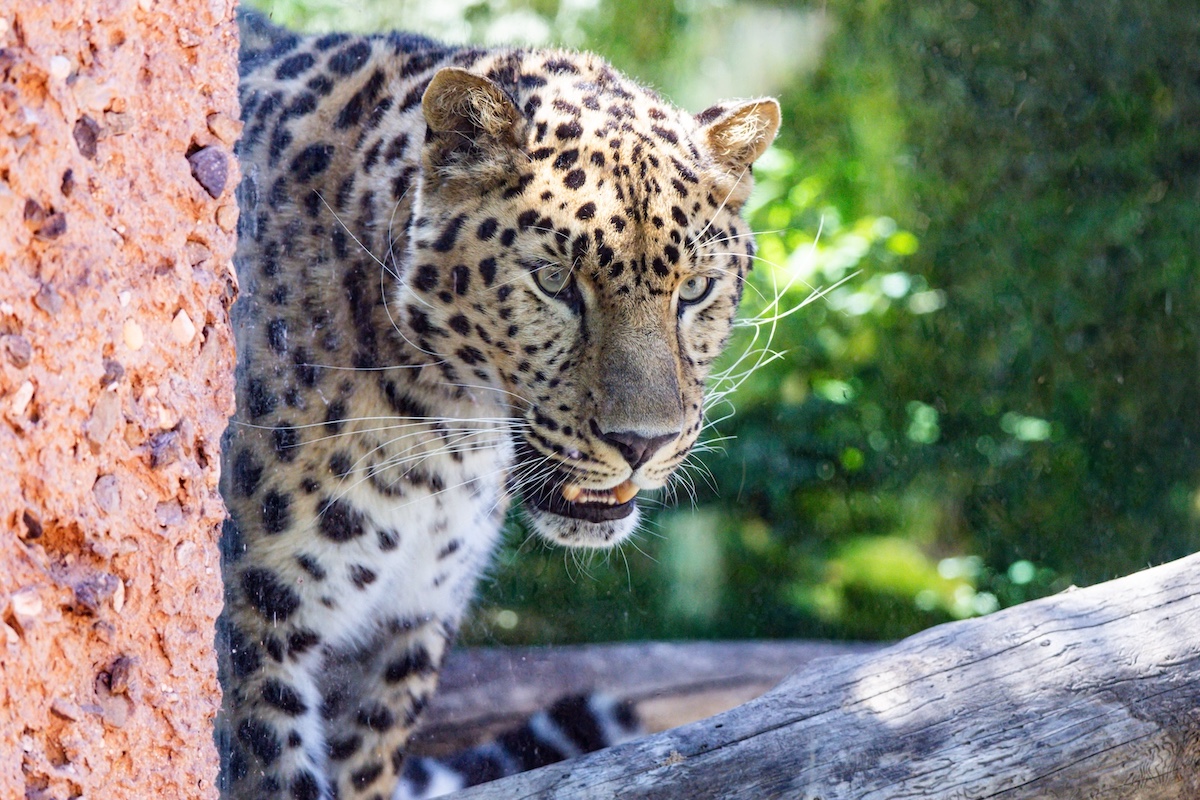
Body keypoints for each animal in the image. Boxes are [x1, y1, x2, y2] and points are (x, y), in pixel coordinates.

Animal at [219, 9, 779, 800]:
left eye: (695, 290)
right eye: (554, 281)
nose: (642, 444)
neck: (435, 434)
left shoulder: (405, 632)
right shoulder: (253, 630)